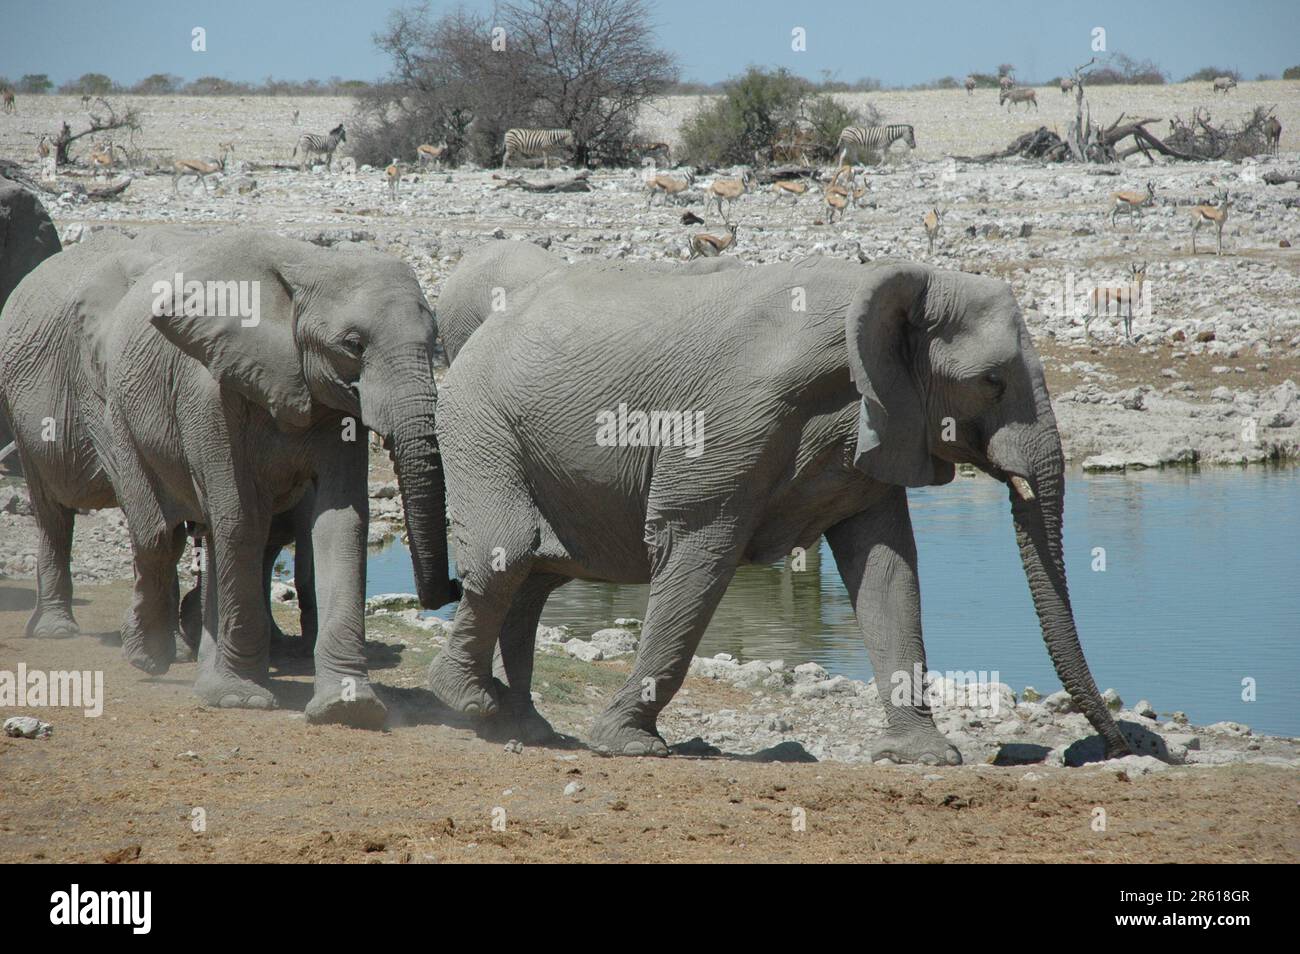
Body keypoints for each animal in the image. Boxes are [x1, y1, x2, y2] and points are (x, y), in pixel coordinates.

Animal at [95, 230, 457, 727]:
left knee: (207, 536)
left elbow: (341, 522)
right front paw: (241, 700)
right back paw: (149, 659)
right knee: (160, 536)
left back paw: (206, 672)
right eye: (353, 344)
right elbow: (241, 519)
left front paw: (350, 707)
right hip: (120, 415)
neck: (311, 266)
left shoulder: (337, 406)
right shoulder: (210, 389)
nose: (453, 588)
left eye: (434, 339)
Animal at [426, 256, 1134, 763]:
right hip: (482, 418)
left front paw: (926, 758)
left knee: (536, 577)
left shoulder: (877, 426)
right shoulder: (729, 424)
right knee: (510, 553)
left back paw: (523, 726)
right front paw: (628, 745)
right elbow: (698, 552)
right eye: (991, 382)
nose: (1115, 747)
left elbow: (887, 568)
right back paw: (468, 704)